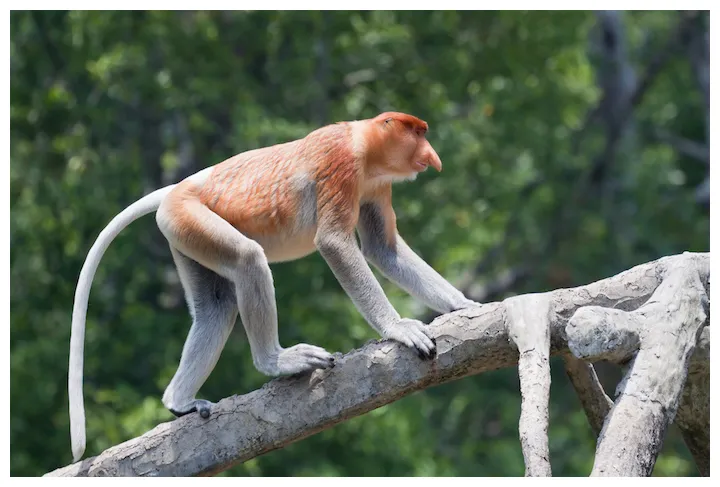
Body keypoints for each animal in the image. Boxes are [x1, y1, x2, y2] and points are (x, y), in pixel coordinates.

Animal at [68, 111, 478, 462]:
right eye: (418, 133)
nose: (433, 157)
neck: (362, 143)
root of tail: (180, 186)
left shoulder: (376, 185)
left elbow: (384, 249)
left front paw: (465, 305)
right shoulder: (339, 165)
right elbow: (335, 243)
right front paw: (400, 329)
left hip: (182, 235)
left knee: (216, 307)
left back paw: (180, 401)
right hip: (188, 217)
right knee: (248, 259)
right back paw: (277, 360)